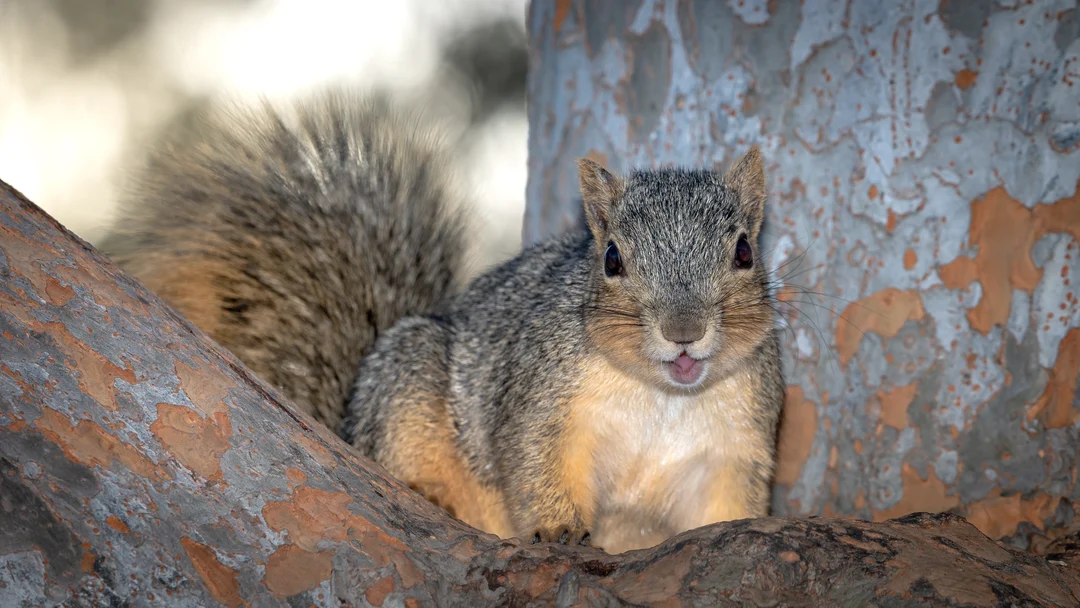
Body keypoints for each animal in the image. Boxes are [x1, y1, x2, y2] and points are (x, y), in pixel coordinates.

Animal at [101, 87, 786, 554]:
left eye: (744, 252)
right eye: (611, 258)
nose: (683, 331)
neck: (664, 397)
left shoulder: (734, 451)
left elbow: (727, 511)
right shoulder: (539, 404)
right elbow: (532, 465)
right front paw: (560, 528)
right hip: (407, 380)